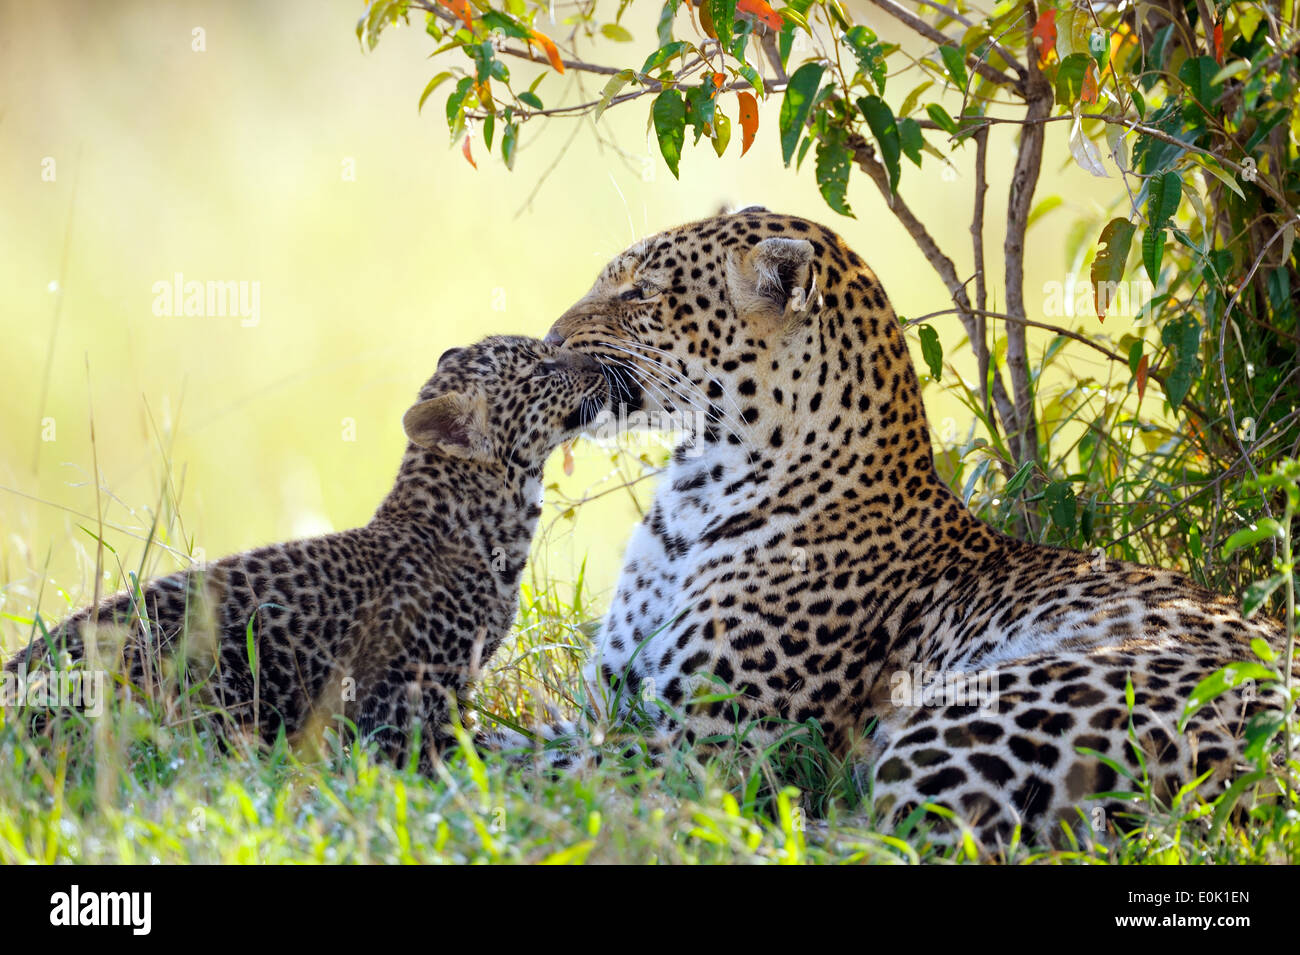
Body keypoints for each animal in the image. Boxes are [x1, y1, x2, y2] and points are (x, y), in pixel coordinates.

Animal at [513, 207, 1284, 845]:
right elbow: (514, 739)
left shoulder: (703, 743)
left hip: (980, 711)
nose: (548, 339)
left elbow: (542, 773)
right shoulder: (609, 709)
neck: (693, 496)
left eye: (641, 293)